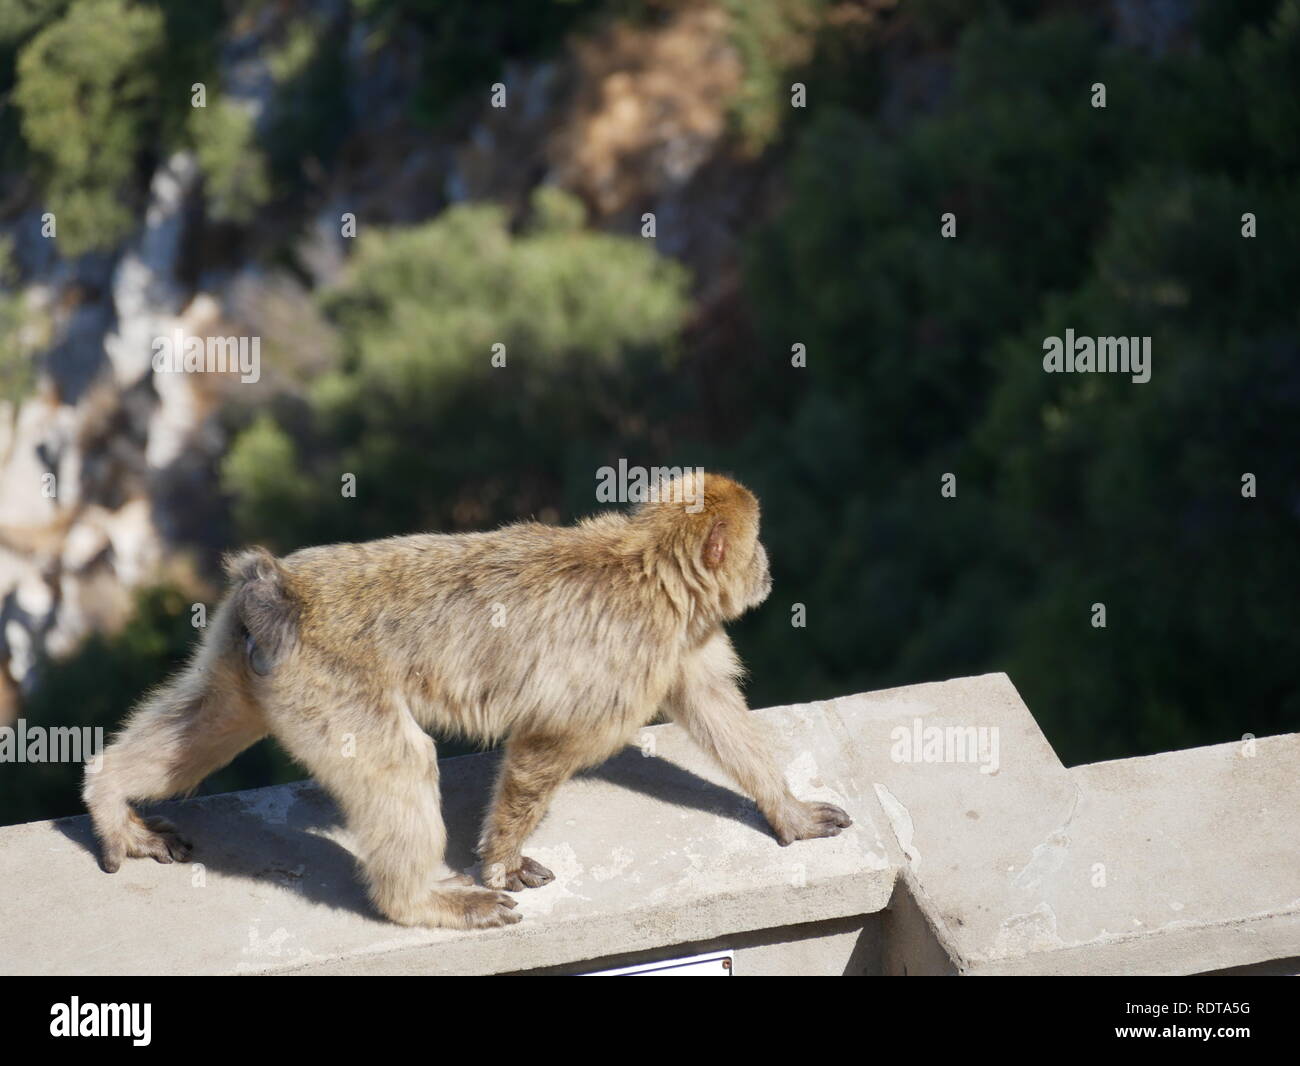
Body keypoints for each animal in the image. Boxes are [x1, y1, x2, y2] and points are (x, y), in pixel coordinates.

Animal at [83, 472, 852, 930]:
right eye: (757, 545)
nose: (769, 568)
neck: (652, 564)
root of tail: (280, 588)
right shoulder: (629, 658)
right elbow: (544, 746)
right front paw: (503, 859)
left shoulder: (682, 641)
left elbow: (715, 709)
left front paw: (786, 810)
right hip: (329, 686)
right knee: (399, 763)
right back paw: (417, 901)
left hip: (249, 663)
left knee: (207, 726)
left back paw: (111, 795)